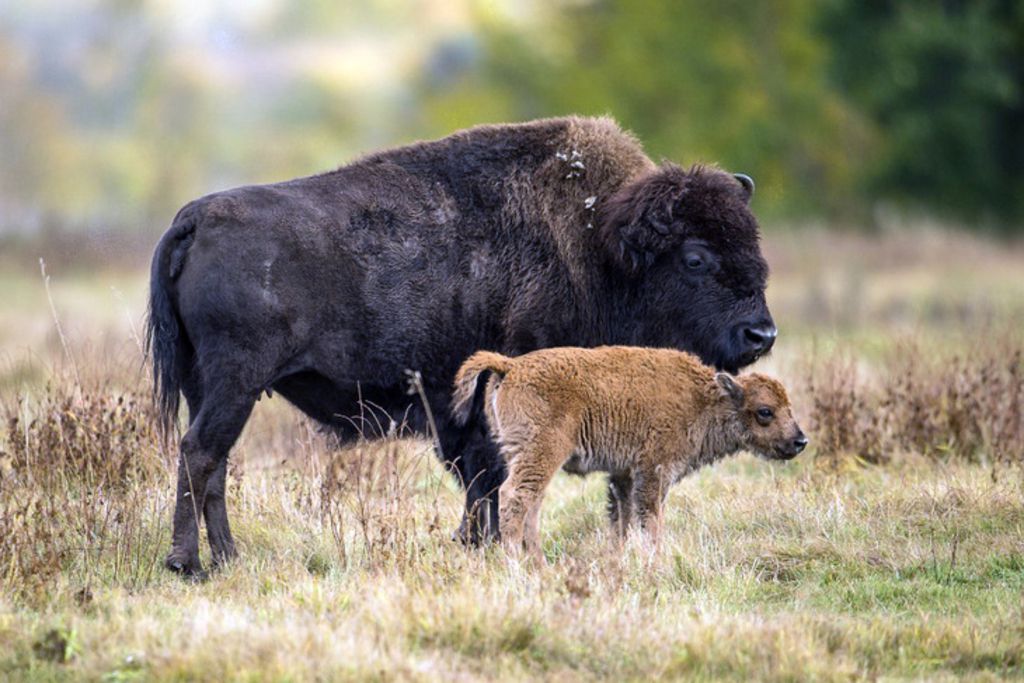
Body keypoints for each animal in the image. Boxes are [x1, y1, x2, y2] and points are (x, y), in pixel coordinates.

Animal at [146, 116, 776, 576]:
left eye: (753, 245)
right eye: (695, 257)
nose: (761, 334)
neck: (599, 244)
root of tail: (195, 218)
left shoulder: (464, 413)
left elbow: (479, 480)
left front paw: (477, 543)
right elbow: (487, 476)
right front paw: (486, 545)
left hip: (211, 385)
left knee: (212, 459)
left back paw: (226, 558)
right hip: (236, 381)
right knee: (201, 452)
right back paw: (190, 563)